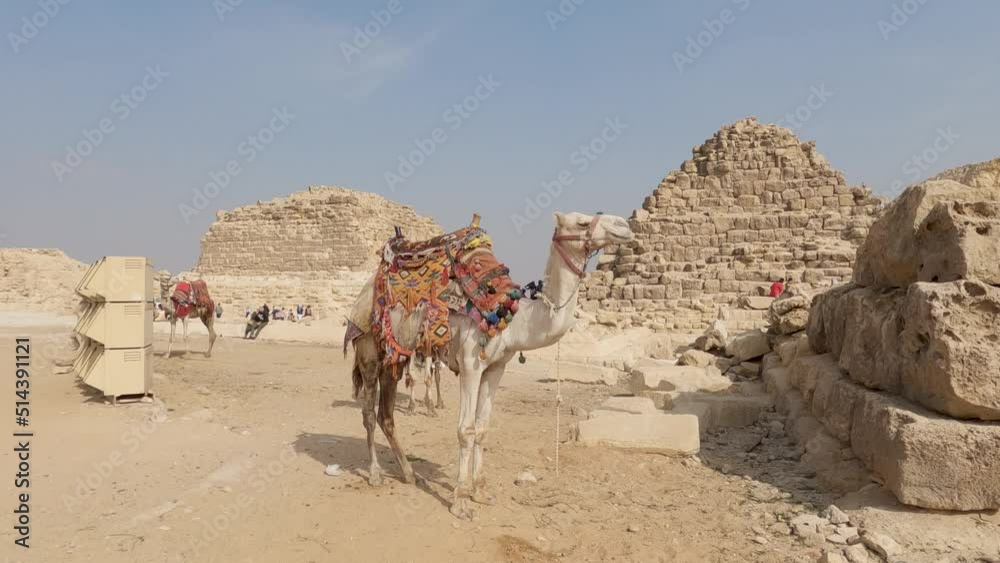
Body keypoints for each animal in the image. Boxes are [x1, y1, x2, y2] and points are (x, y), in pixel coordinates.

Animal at [347, 212, 634, 519]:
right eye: (581, 222)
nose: (624, 226)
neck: (513, 320)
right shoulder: (471, 364)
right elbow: (466, 429)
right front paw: (461, 501)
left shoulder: (496, 368)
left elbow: (483, 428)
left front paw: (481, 492)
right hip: (369, 349)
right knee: (368, 412)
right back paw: (375, 473)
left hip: (395, 357)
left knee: (386, 415)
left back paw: (410, 474)